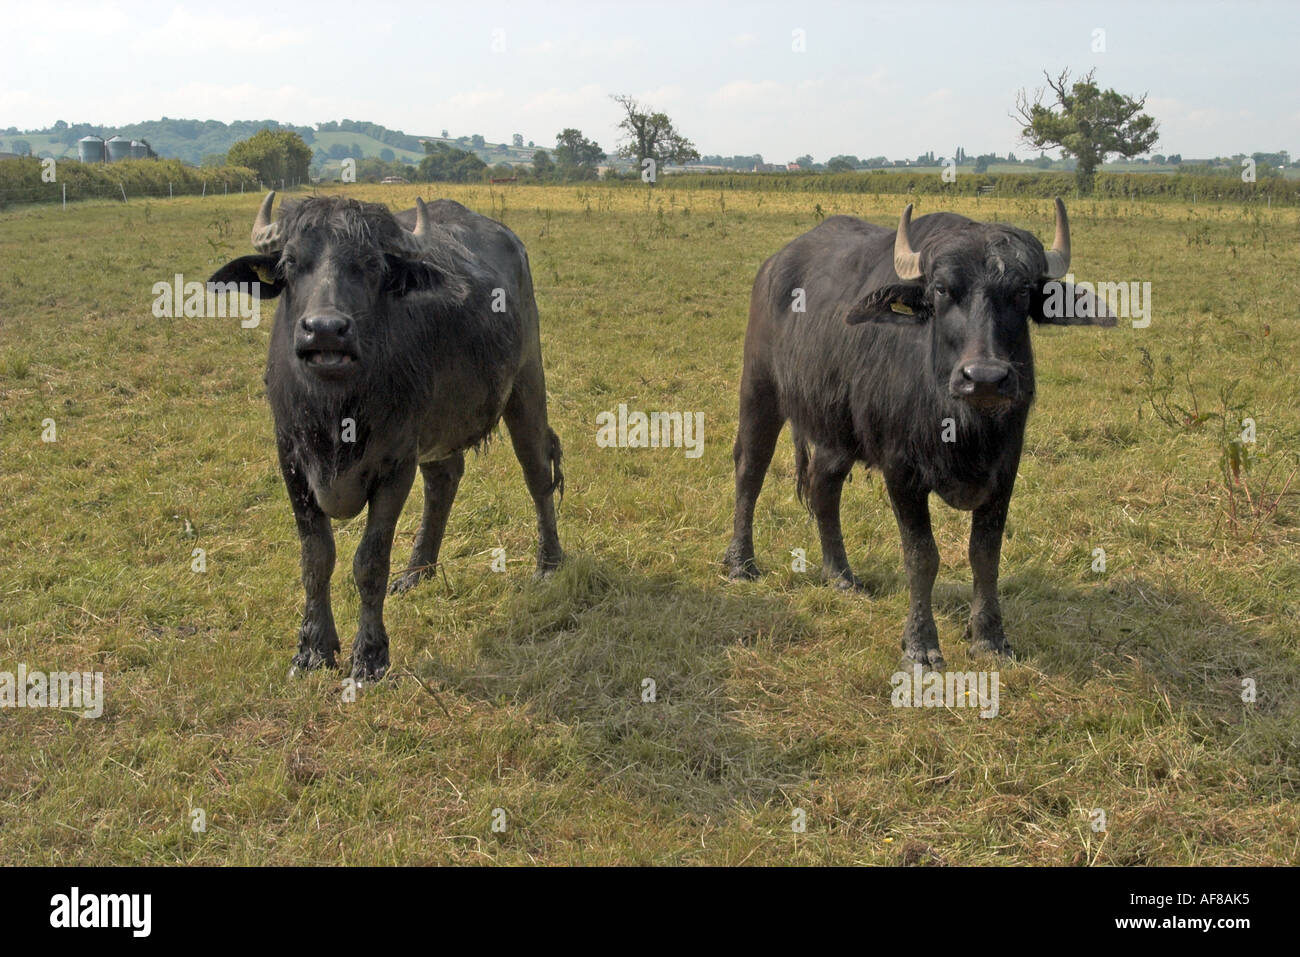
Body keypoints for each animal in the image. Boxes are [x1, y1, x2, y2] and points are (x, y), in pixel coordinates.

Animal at [209, 193, 564, 680]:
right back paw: (417, 571)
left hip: (527, 381)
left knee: (537, 474)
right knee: (444, 481)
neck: (337, 409)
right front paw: (313, 649)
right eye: (291, 262)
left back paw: (549, 564)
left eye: (371, 266)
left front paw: (370, 656)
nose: (325, 329)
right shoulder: (291, 460)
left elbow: (370, 561)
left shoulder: (396, 463)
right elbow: (316, 557)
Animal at [724, 199, 1113, 668]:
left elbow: (985, 554)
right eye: (942, 289)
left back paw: (840, 575)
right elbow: (922, 556)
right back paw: (741, 563)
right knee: (750, 470)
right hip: (759, 389)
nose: (984, 378)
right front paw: (921, 644)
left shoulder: (1006, 469)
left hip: (838, 432)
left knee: (823, 487)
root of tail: (774, 266)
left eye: (1022, 291)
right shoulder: (901, 471)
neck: (961, 423)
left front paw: (989, 637)